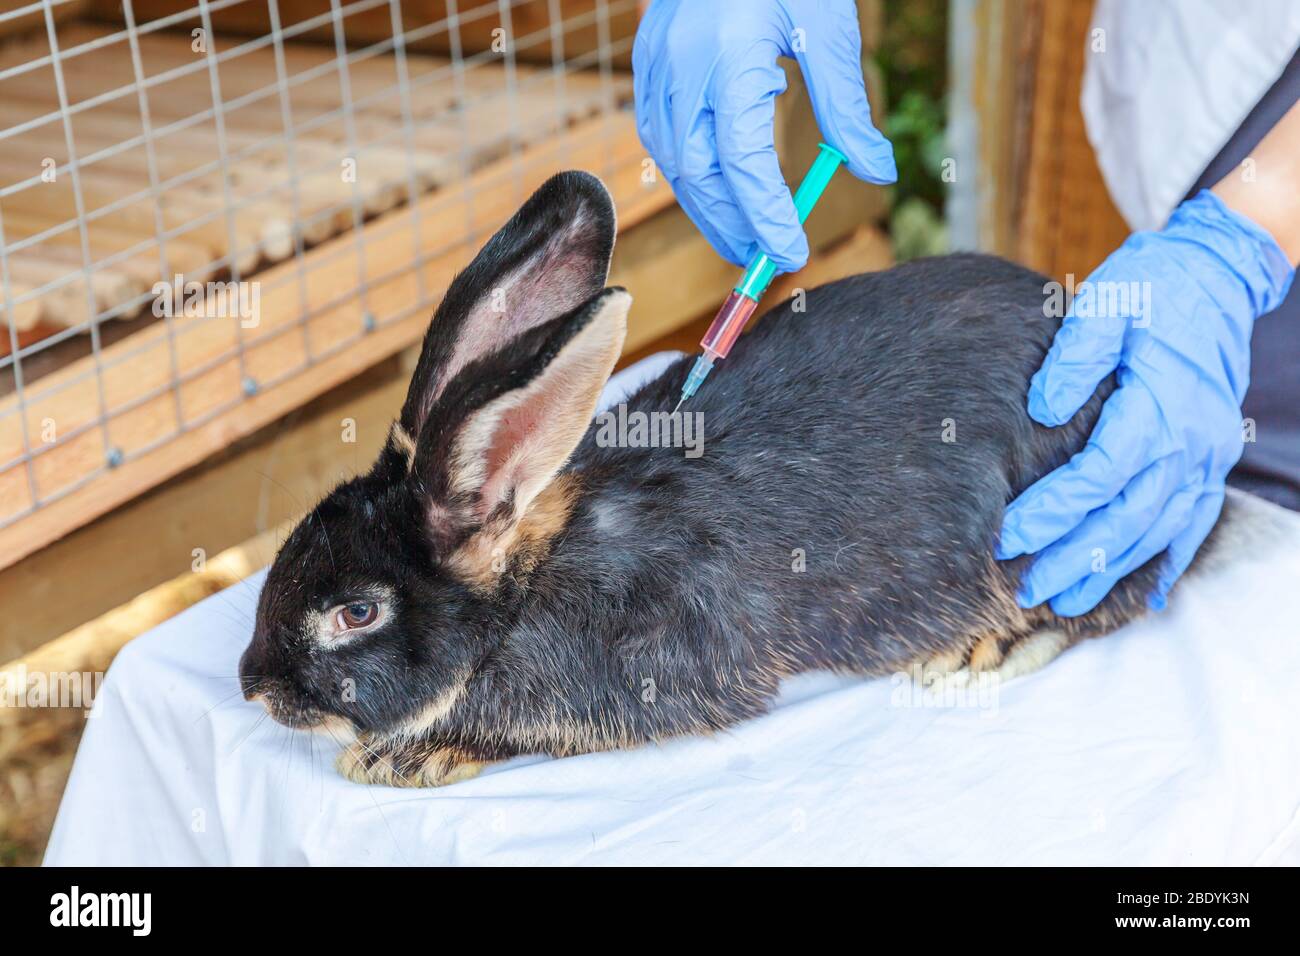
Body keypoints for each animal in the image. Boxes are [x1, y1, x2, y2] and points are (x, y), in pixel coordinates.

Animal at [239, 170, 1239, 788]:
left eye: (357, 613)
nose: (252, 687)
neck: (526, 585)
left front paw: (404, 760)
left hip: (1074, 539)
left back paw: (973, 654)